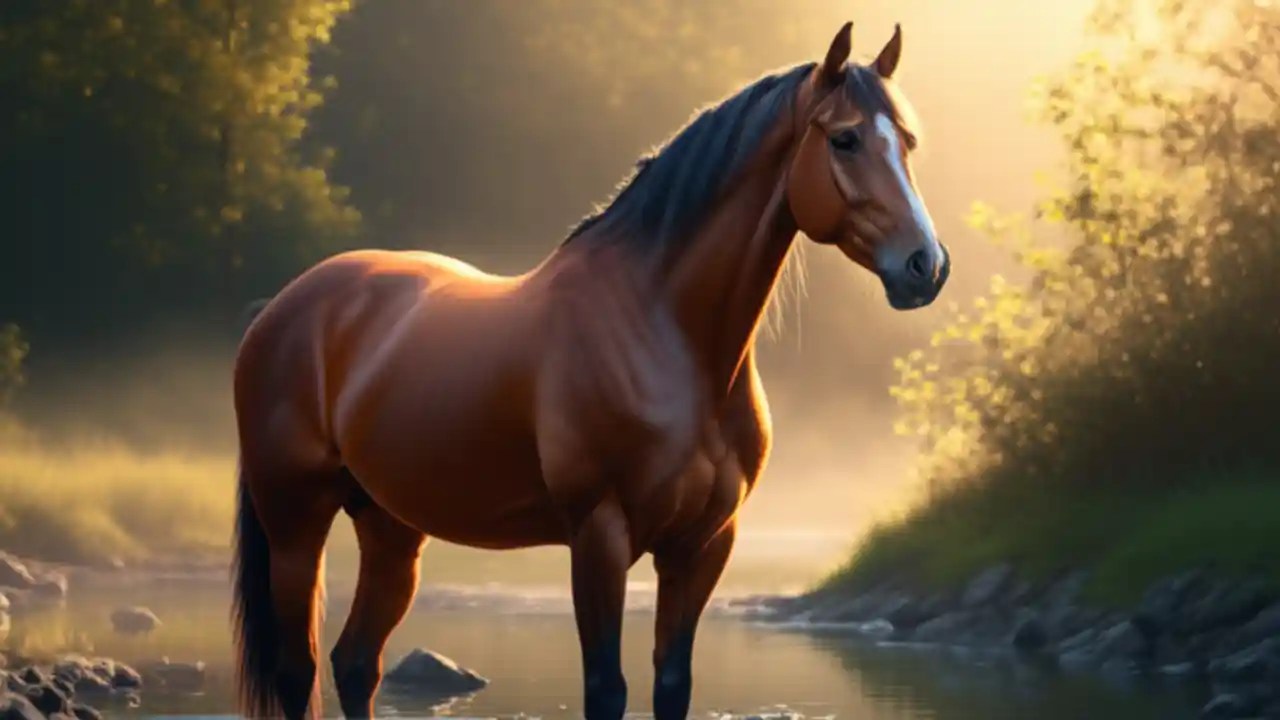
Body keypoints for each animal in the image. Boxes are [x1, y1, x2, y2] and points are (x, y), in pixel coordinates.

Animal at [232, 20, 949, 720]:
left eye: (909, 143)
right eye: (845, 139)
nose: (926, 265)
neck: (668, 337)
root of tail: (284, 307)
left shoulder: (703, 544)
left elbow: (672, 684)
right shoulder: (599, 538)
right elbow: (606, 689)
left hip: (390, 529)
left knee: (356, 664)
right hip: (296, 525)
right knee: (299, 673)